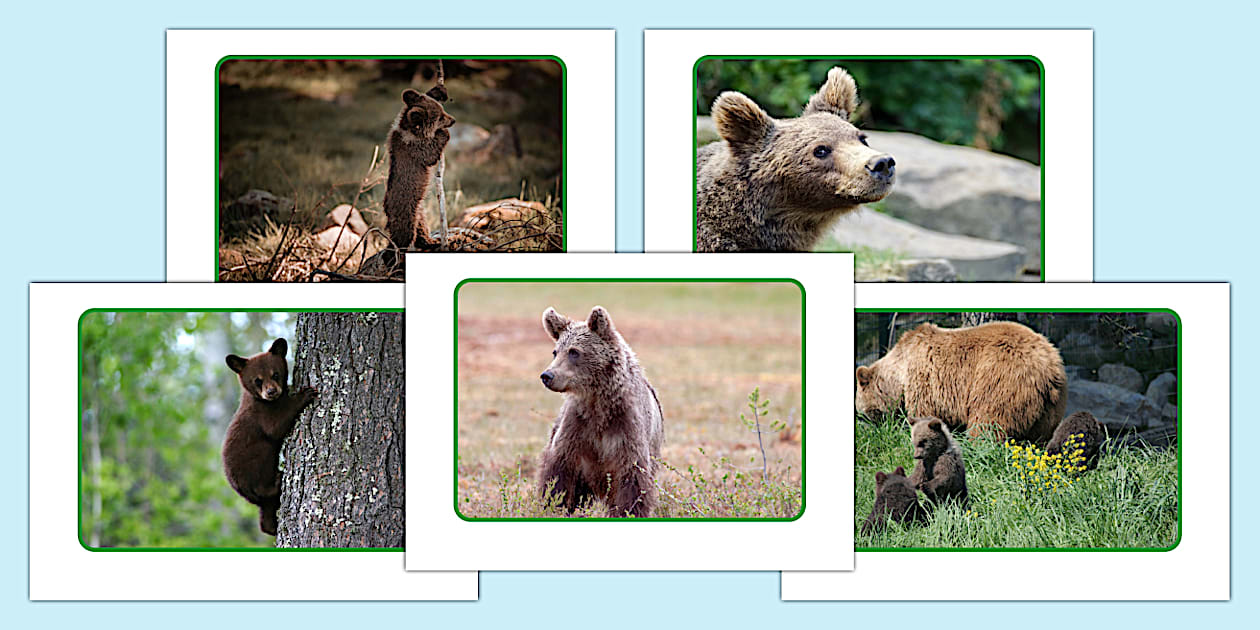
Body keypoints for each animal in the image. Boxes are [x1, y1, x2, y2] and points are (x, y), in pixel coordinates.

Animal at [221, 338, 319, 535]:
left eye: (275, 374)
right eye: (257, 380)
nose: (271, 391)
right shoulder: (261, 413)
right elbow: (276, 426)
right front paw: (305, 394)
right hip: (254, 463)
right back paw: (277, 481)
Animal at [383, 88, 456, 251]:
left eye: (443, 110)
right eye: (440, 117)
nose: (453, 120)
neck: (413, 131)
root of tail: (386, 210)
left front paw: (439, 90)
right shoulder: (412, 148)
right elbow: (429, 153)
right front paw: (443, 133)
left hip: (420, 212)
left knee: (421, 228)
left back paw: (430, 241)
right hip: (405, 209)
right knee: (404, 233)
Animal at [537, 306, 665, 517]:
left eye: (574, 352)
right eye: (555, 351)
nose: (547, 375)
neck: (599, 404)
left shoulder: (626, 429)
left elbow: (633, 483)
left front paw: (629, 511)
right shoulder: (577, 428)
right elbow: (558, 476)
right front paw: (553, 505)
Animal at [855, 320, 1067, 444]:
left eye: (861, 409)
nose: (864, 423)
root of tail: (1048, 366)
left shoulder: (925, 381)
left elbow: (924, 414)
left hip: (1000, 379)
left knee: (988, 423)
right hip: (1050, 408)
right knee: (1040, 437)